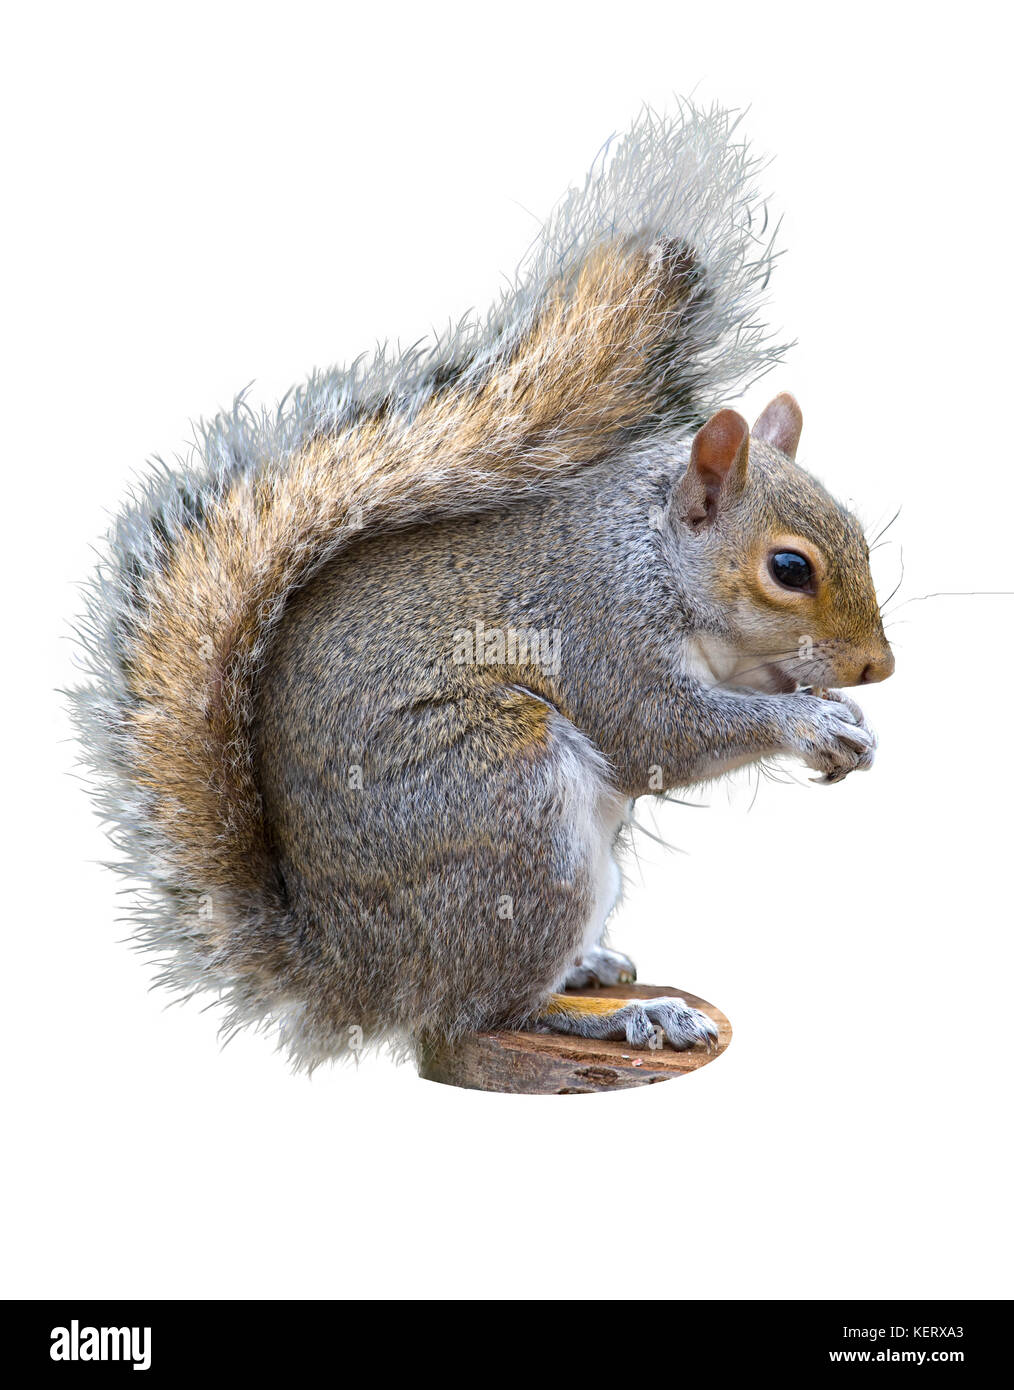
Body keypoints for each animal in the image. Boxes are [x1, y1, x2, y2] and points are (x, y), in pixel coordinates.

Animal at [71, 102, 894, 1069]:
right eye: (789, 569)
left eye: (858, 531)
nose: (878, 667)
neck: (652, 555)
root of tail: (356, 971)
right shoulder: (597, 625)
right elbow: (659, 734)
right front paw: (807, 723)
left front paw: (846, 720)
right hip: (509, 801)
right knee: (483, 1012)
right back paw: (619, 1016)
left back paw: (592, 969)